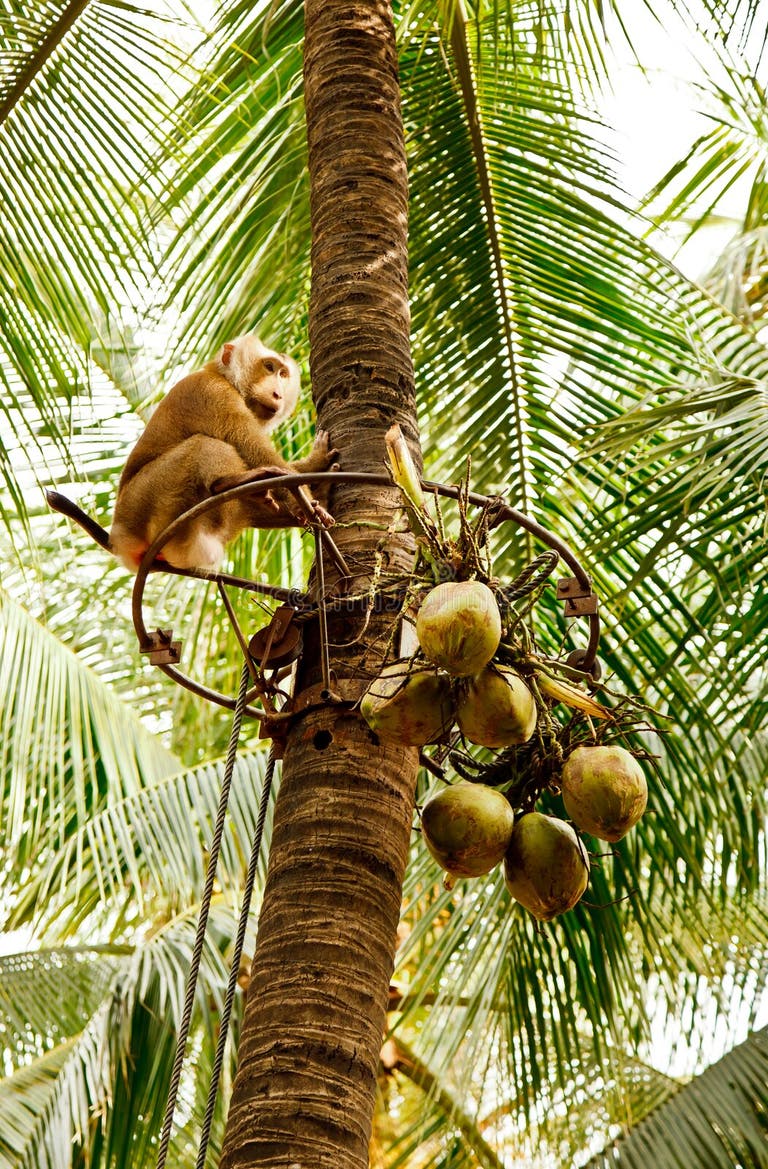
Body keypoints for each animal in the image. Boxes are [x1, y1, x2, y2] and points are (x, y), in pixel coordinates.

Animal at [109, 334, 338, 571]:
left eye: (283, 374)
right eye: (269, 367)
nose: (278, 394)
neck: (224, 377)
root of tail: (122, 543)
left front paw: (314, 464)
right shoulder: (212, 391)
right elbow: (249, 443)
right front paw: (307, 504)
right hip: (142, 502)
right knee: (203, 444)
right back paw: (227, 482)